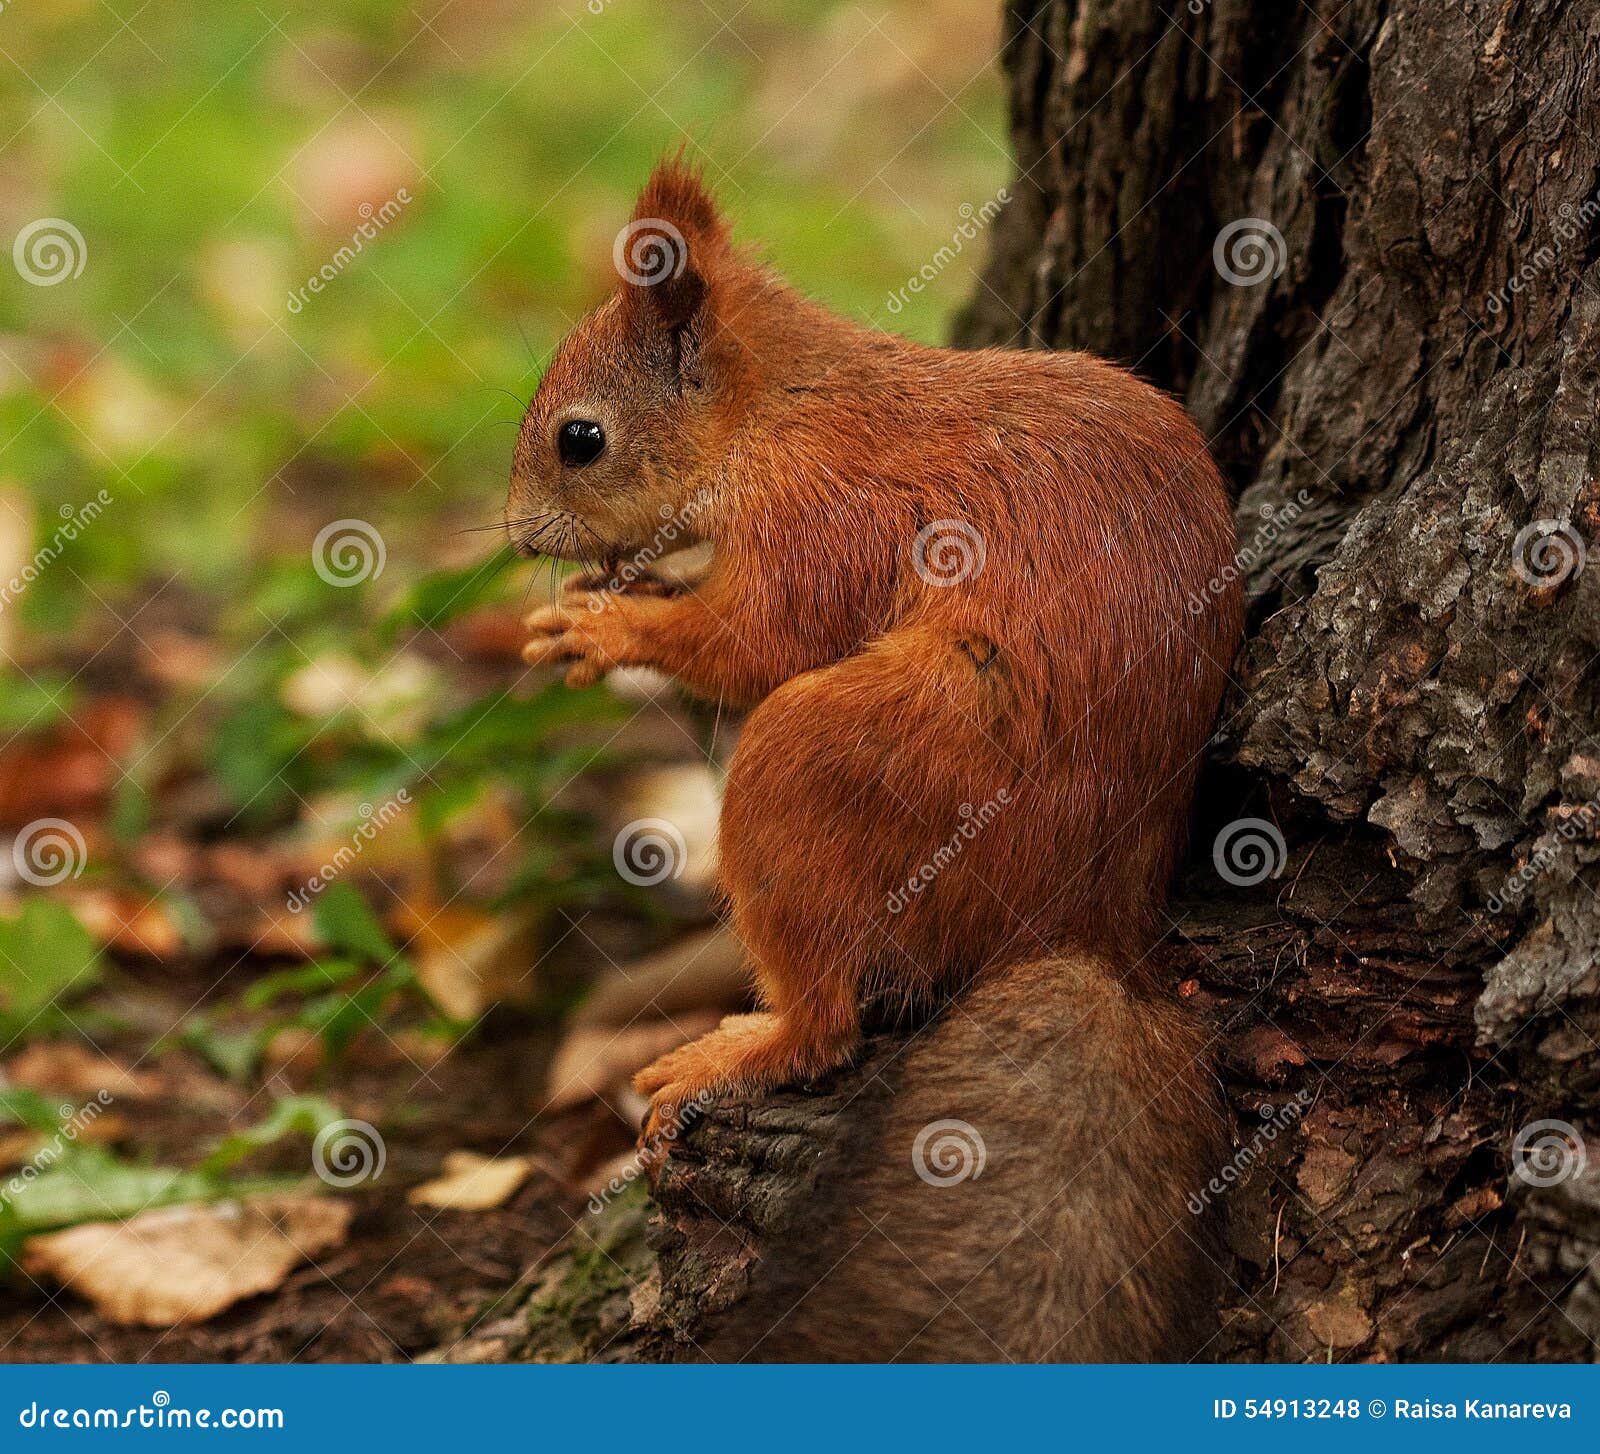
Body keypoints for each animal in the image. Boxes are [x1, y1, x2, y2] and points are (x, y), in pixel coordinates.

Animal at [507, 159, 1243, 1347]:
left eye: (582, 438)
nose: (522, 533)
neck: (779, 408)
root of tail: (1090, 925)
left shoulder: (819, 515)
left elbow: (760, 640)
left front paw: (610, 629)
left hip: (838, 762)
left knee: (828, 1023)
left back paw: (738, 1050)